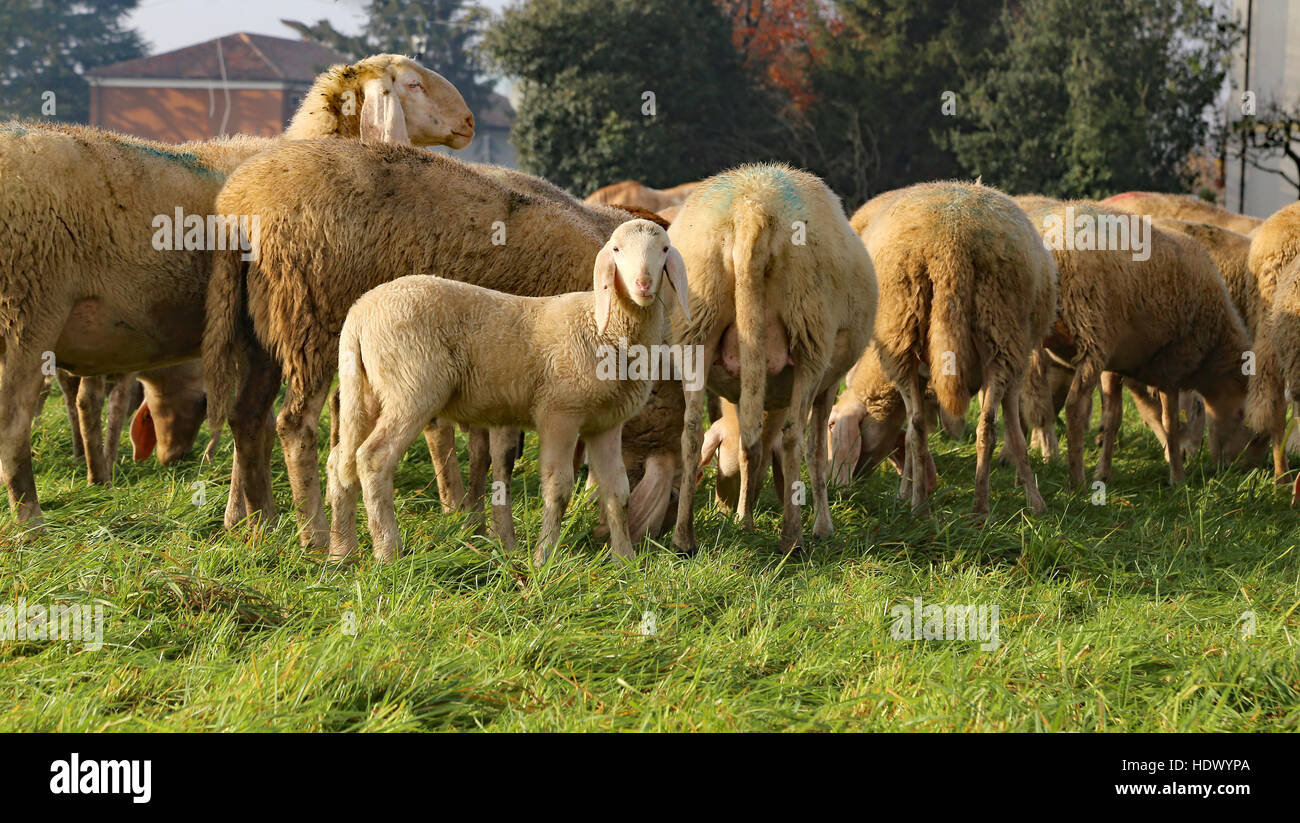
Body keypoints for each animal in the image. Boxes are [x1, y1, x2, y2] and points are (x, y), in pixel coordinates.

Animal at [0, 55, 472, 530]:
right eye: (413, 83)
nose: (468, 122)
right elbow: (256, 426)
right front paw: (254, 516)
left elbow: (248, 425)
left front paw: (236, 516)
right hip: (30, 308)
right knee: (14, 419)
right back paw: (31, 522)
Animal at [326, 219, 687, 563]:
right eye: (616, 249)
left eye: (664, 249)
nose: (643, 284)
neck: (605, 328)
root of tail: (360, 312)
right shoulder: (559, 414)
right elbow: (558, 488)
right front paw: (545, 557)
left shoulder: (605, 425)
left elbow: (618, 492)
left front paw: (624, 560)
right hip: (411, 386)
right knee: (373, 458)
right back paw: (388, 552)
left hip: (369, 390)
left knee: (340, 461)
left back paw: (342, 552)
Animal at [667, 164, 876, 553]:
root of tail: (752, 211)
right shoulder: (828, 384)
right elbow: (816, 452)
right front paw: (823, 527)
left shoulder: (754, 393)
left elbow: (752, 450)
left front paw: (743, 519)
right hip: (810, 333)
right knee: (795, 438)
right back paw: (792, 538)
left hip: (695, 329)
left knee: (692, 434)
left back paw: (684, 537)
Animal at [825, 182, 1055, 514]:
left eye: (831, 425)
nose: (841, 485)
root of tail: (951, 245)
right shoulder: (1013, 363)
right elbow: (1014, 433)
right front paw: (1034, 501)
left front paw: (905, 491)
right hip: (1000, 333)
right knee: (981, 426)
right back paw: (976, 509)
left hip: (906, 334)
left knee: (919, 426)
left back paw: (921, 506)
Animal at [1013, 199, 1252, 488]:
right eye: (1244, 416)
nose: (1246, 469)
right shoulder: (1171, 366)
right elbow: (1170, 423)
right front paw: (1178, 477)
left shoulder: (1117, 365)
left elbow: (1113, 419)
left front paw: (1104, 473)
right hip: (1091, 331)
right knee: (1075, 407)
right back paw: (1076, 480)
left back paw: (1021, 473)